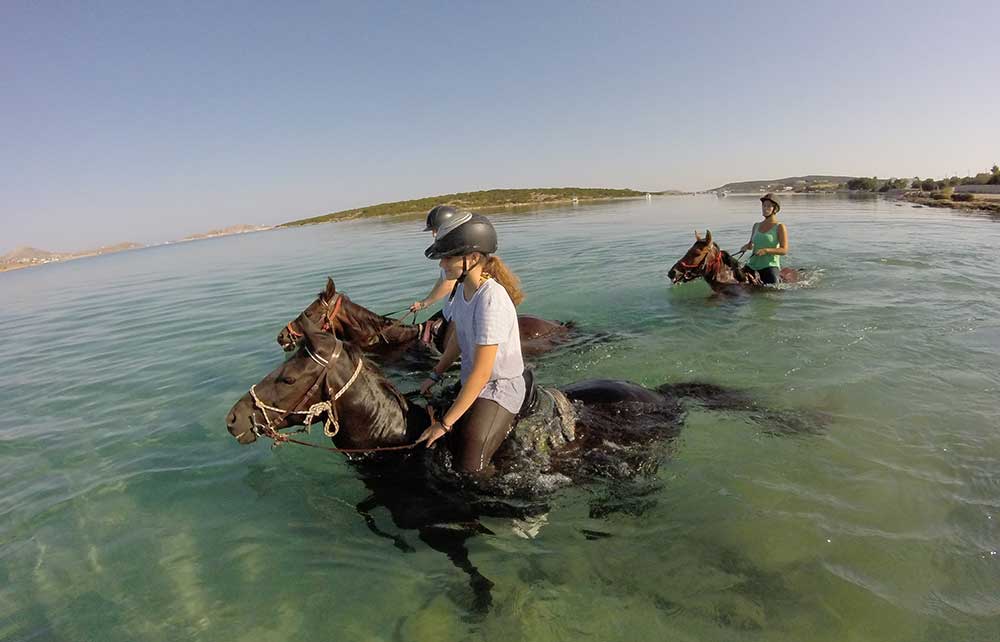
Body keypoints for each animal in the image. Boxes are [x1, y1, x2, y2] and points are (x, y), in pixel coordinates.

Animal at [227, 314, 825, 612]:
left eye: (288, 376)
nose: (234, 420)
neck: (403, 443)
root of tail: (661, 394)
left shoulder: (449, 527)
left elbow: (466, 570)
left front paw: (481, 606)